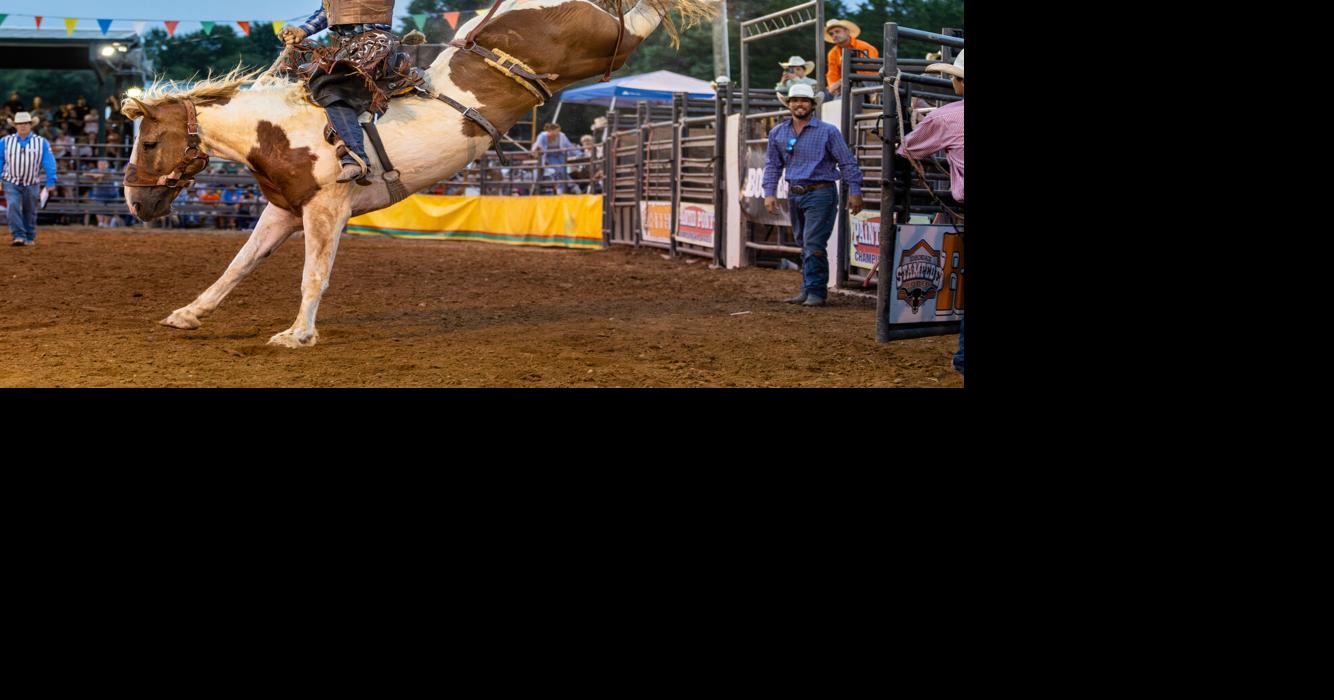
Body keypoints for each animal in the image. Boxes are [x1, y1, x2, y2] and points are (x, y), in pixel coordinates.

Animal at [122, 0, 714, 348]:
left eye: (149, 142)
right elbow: (237, 267)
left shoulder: (326, 209)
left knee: (638, 22)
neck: (277, 130)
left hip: (597, 40)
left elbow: (314, 273)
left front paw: (297, 334)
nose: (135, 203)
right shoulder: (285, 210)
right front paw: (189, 313)